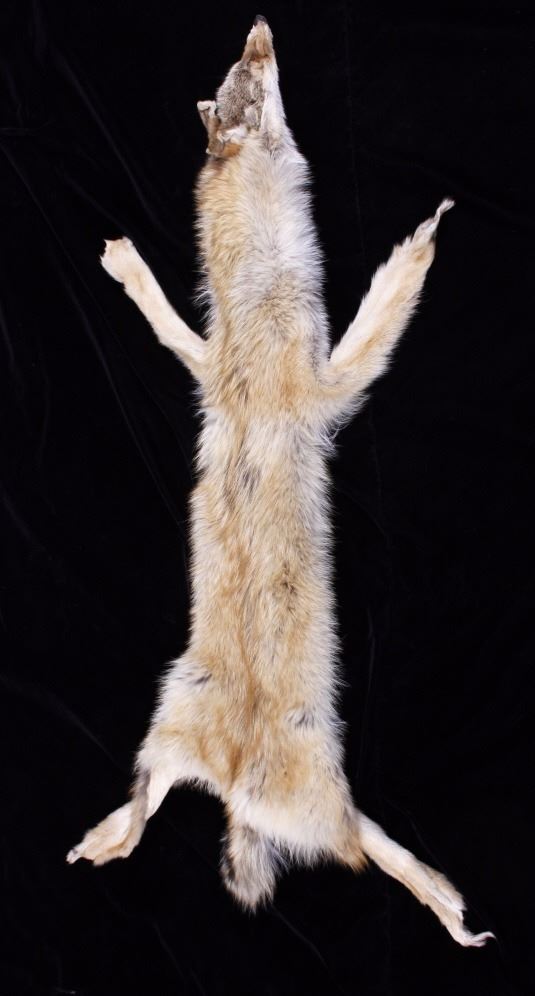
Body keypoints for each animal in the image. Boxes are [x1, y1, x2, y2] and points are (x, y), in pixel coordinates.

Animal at [67, 16, 493, 948]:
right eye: (247, 80)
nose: (260, 26)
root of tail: (237, 789)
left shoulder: (210, 366)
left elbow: (175, 334)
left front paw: (127, 267)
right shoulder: (318, 380)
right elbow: (377, 320)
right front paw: (426, 235)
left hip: (168, 728)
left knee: (148, 798)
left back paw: (101, 841)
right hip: (310, 791)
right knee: (359, 847)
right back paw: (448, 906)